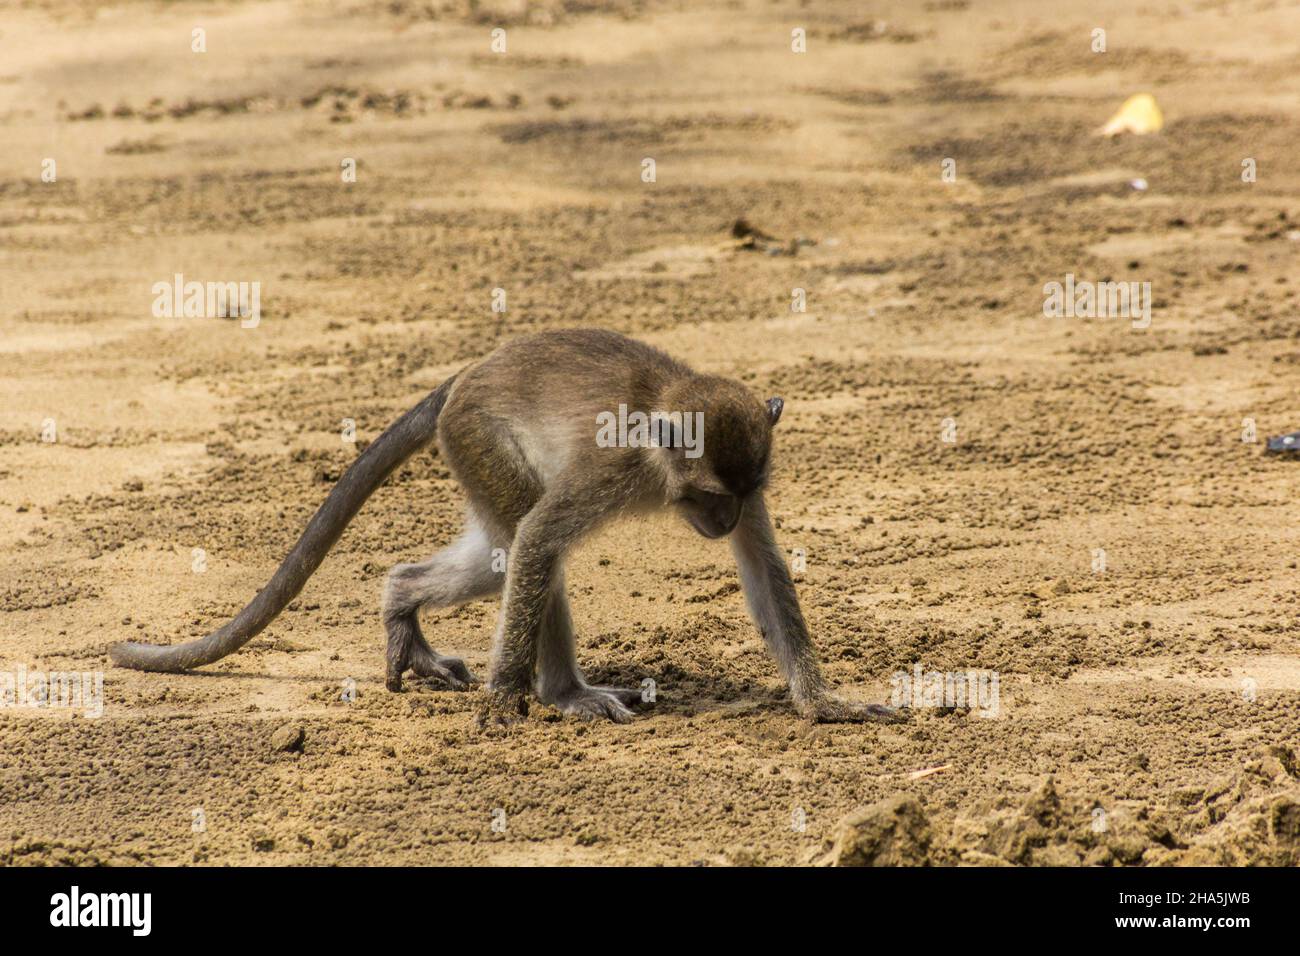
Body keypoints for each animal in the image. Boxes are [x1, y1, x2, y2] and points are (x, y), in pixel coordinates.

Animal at [111, 328, 901, 726]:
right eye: (710, 496)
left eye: (740, 499)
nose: (722, 519)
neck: (658, 456)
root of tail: (465, 377)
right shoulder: (611, 467)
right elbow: (541, 538)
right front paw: (500, 706)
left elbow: (764, 570)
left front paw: (821, 703)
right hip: (477, 439)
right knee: (522, 544)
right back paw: (558, 695)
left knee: (500, 554)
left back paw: (402, 602)